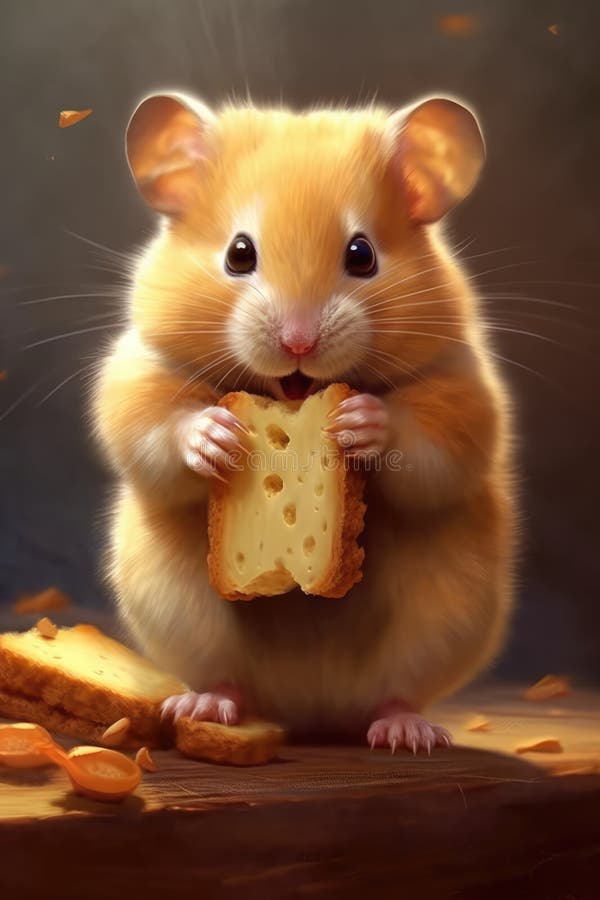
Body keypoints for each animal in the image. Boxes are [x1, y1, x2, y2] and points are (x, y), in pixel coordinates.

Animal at [92, 92, 515, 752]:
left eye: (362, 254)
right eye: (239, 253)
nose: (298, 342)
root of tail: (311, 715)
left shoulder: (463, 388)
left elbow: (431, 449)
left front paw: (362, 422)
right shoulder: (138, 370)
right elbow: (153, 424)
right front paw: (217, 435)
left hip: (444, 625)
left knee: (397, 693)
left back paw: (406, 733)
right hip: (180, 617)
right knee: (228, 681)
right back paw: (204, 706)